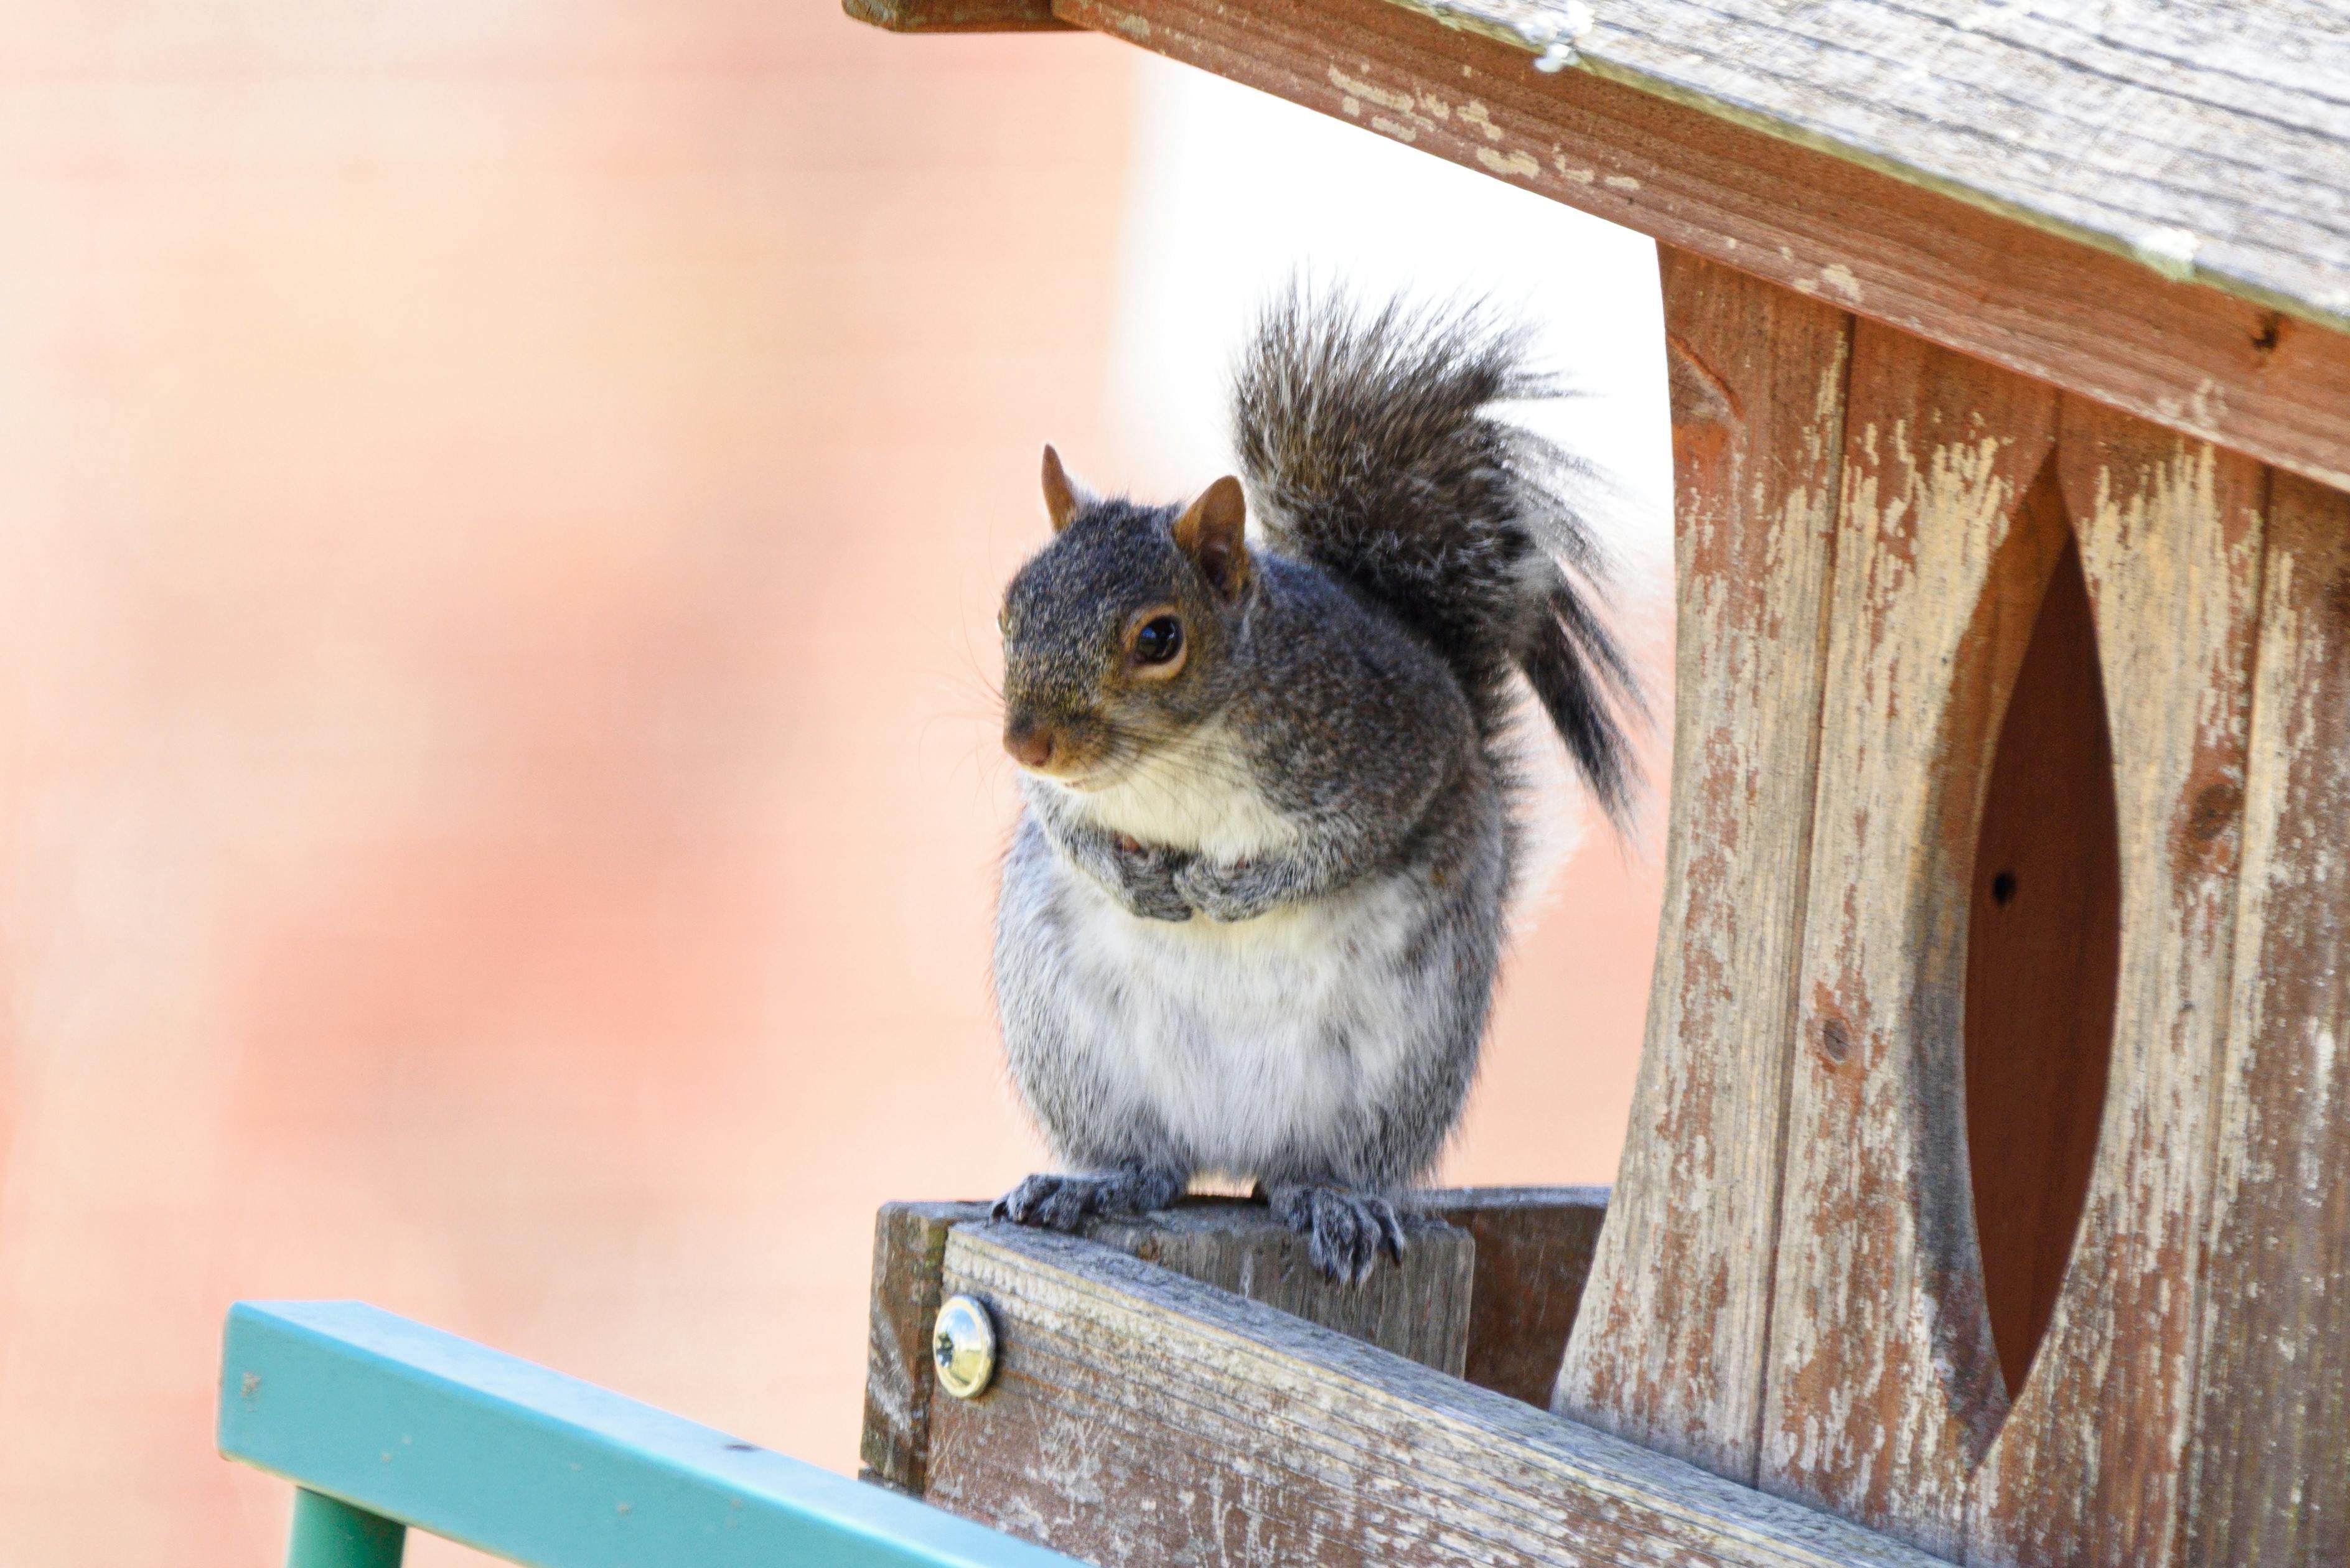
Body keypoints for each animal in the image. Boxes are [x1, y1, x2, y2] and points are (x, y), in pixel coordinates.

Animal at [988, 289, 1641, 1283]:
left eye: (1159, 637)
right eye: (1008, 607)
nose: (1025, 740)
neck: (1175, 760)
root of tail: (1233, 1146)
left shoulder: (1390, 746)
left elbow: (1348, 845)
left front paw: (1237, 888)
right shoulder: (1063, 795)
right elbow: (1062, 823)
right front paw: (1131, 876)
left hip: (1397, 1065)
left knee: (1313, 1169)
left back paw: (1333, 1198)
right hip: (1074, 1052)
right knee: (1152, 1164)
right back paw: (1094, 1184)